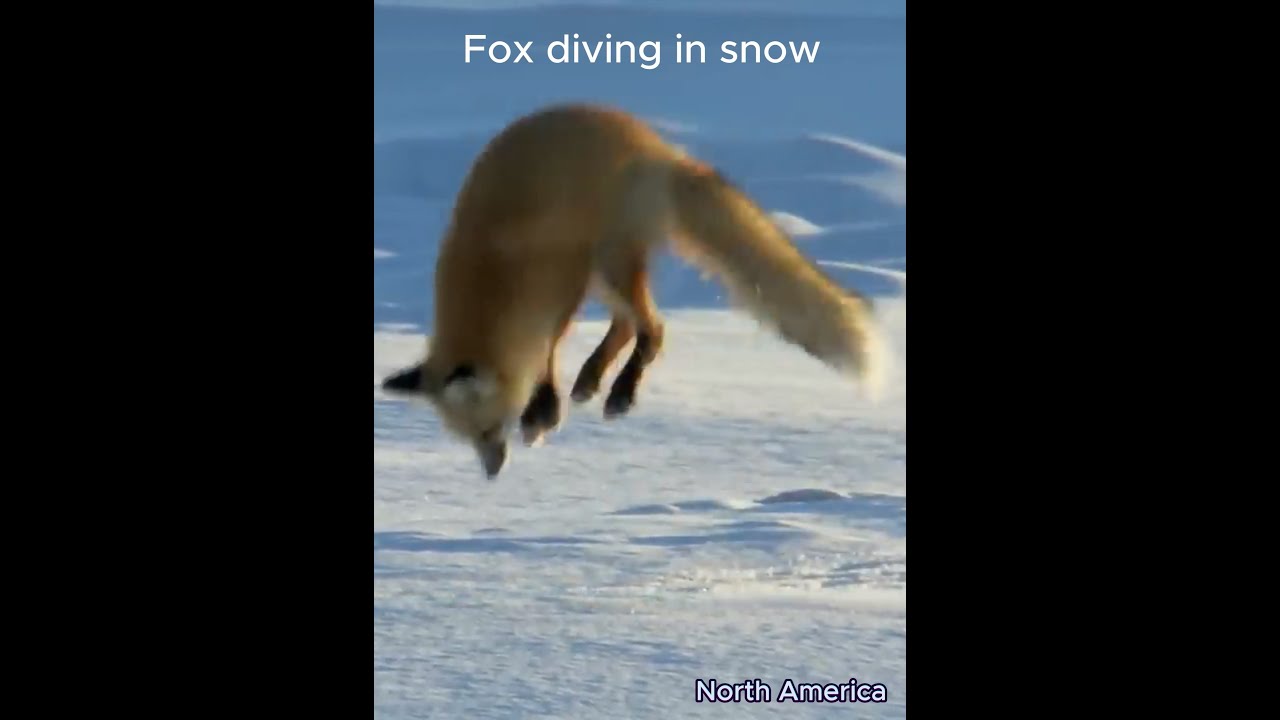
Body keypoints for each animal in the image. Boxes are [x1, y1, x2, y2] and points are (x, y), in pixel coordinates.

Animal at [380, 103, 890, 478]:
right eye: (466, 439)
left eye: (490, 429)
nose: (492, 472)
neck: (492, 275)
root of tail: (660, 147)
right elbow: (549, 350)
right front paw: (548, 405)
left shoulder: (558, 286)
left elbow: (548, 351)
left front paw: (543, 410)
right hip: (606, 274)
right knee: (627, 324)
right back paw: (591, 380)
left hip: (609, 263)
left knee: (653, 328)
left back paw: (620, 393)